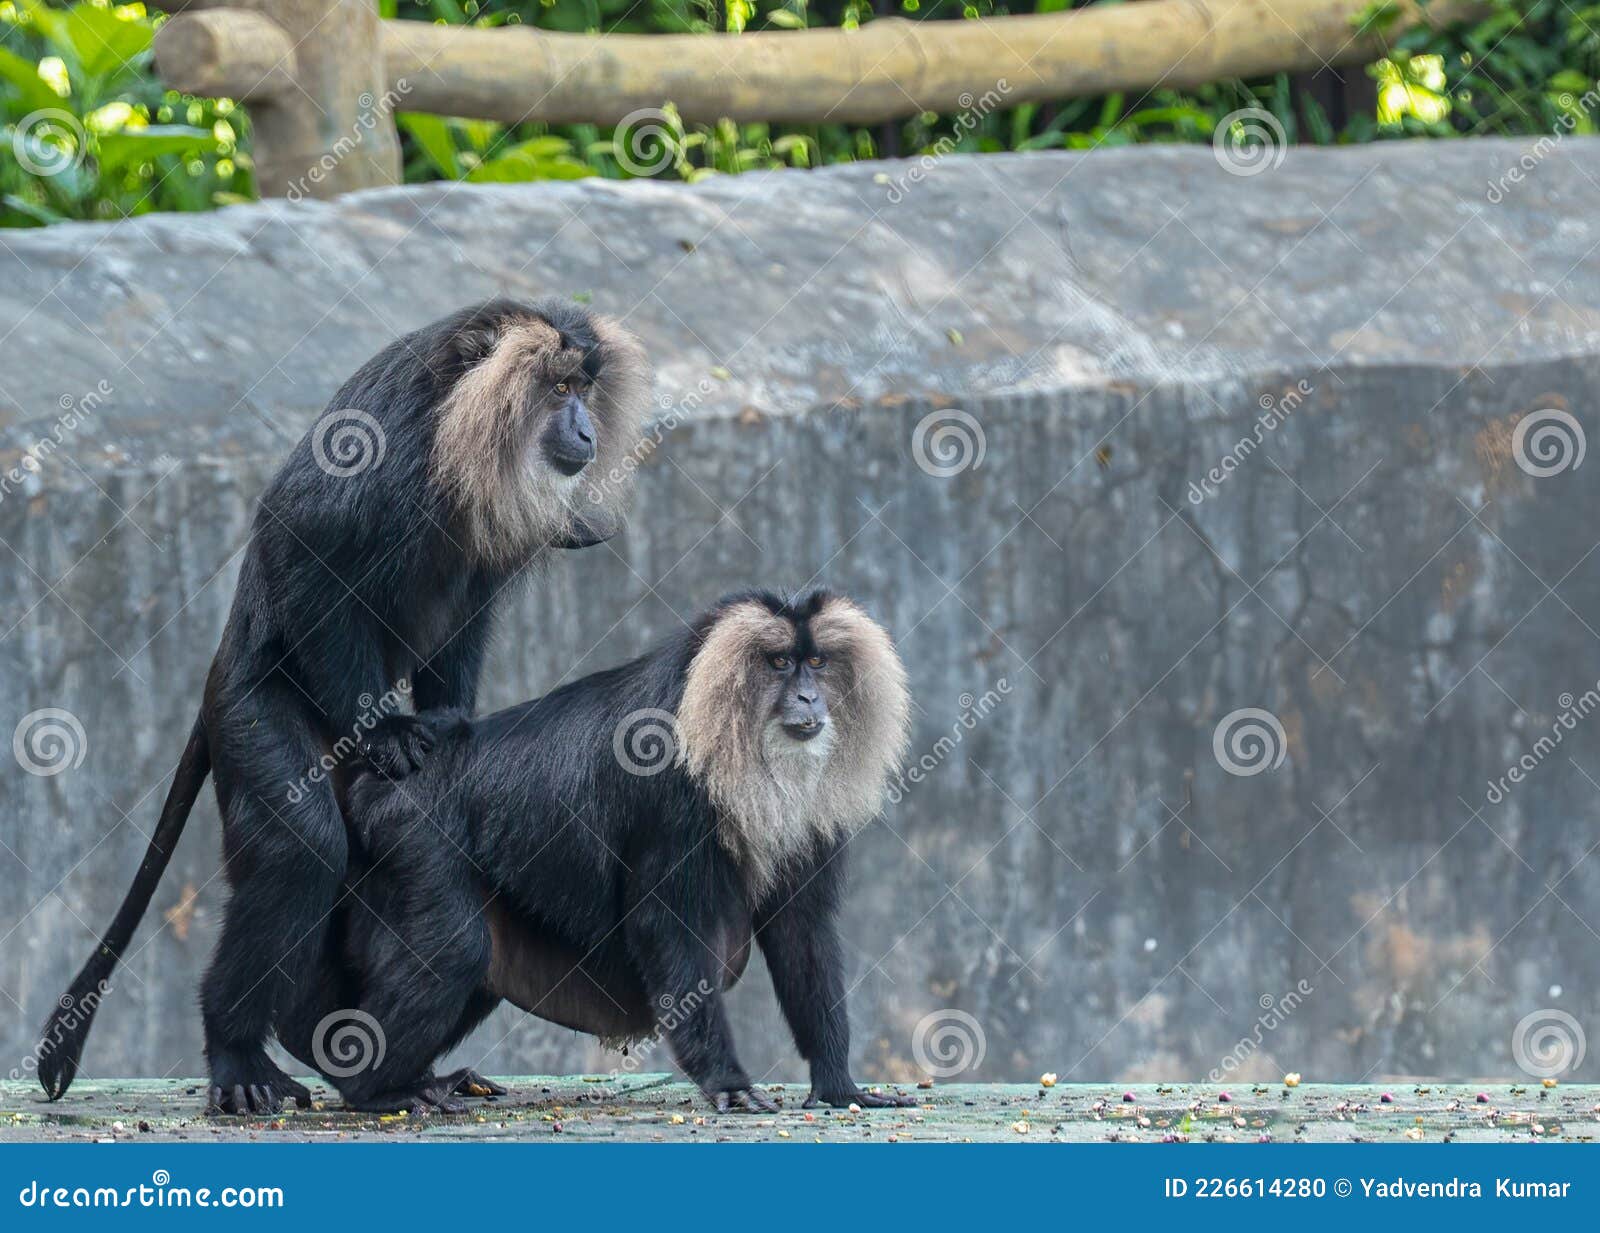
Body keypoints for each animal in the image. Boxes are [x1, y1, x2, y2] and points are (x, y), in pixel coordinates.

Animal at [36, 298, 651, 1116]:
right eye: (557, 390)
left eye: (584, 389)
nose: (585, 431)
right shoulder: (381, 449)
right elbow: (309, 551)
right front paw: (386, 731)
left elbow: (467, 605)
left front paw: (449, 726)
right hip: (247, 706)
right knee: (301, 843)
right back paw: (238, 1054)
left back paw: (386, 1067)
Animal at [316, 588, 918, 1114]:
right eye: (777, 663)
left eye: (815, 661)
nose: (809, 698)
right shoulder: (671, 787)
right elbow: (668, 926)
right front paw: (727, 1081)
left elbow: (801, 929)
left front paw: (838, 1084)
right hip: (413, 830)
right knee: (455, 947)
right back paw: (372, 1090)